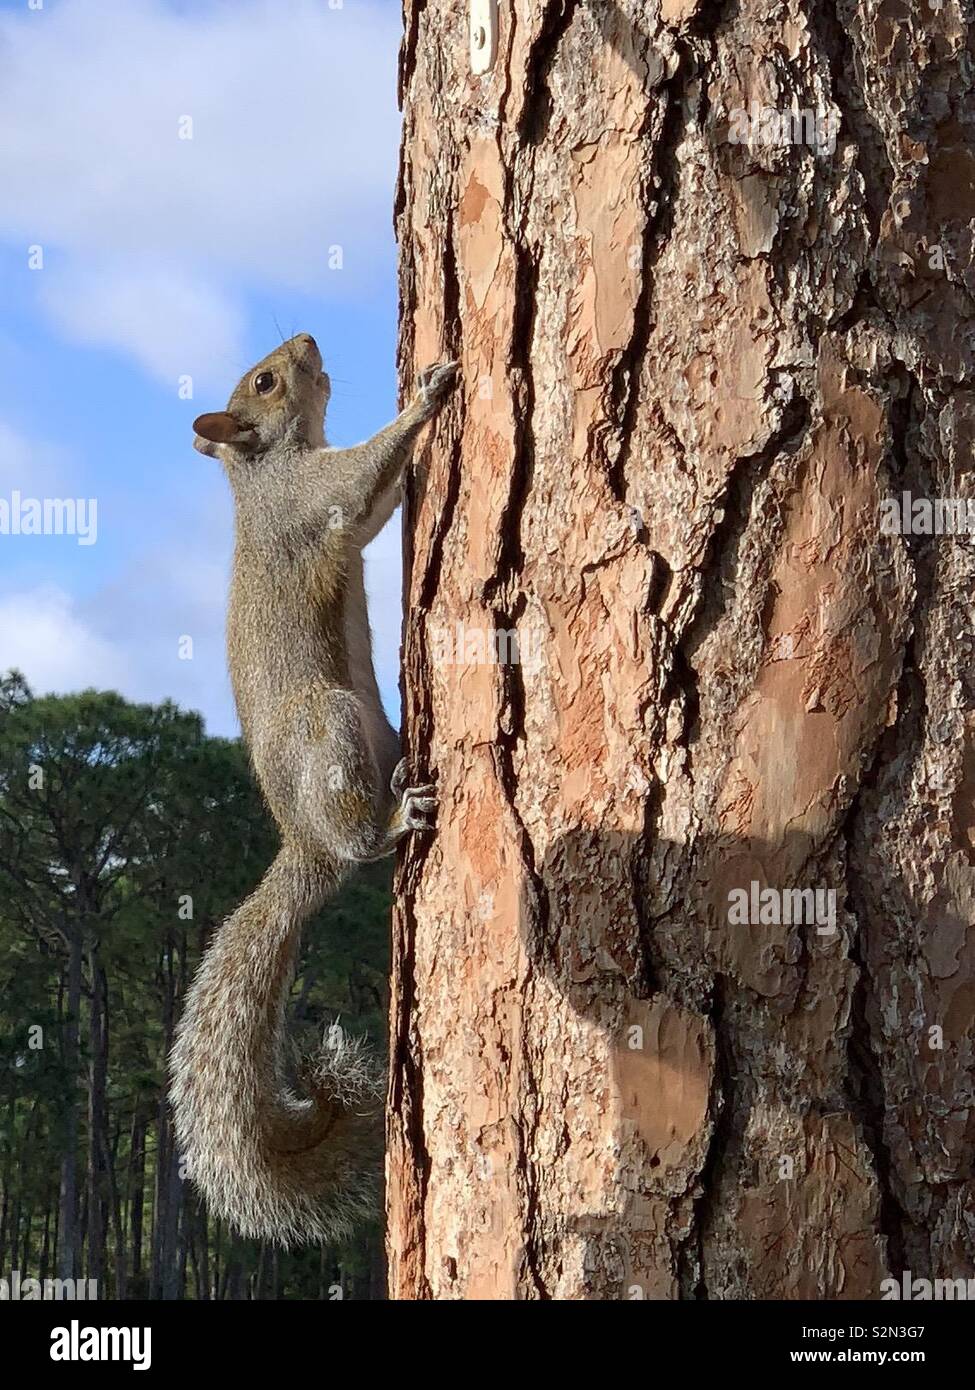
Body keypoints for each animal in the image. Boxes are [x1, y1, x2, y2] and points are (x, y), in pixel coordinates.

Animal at [170, 333, 458, 1247]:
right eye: (265, 382)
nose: (307, 341)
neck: (262, 475)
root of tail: (302, 845)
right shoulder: (313, 502)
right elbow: (365, 483)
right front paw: (426, 398)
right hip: (330, 726)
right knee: (357, 839)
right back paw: (395, 818)